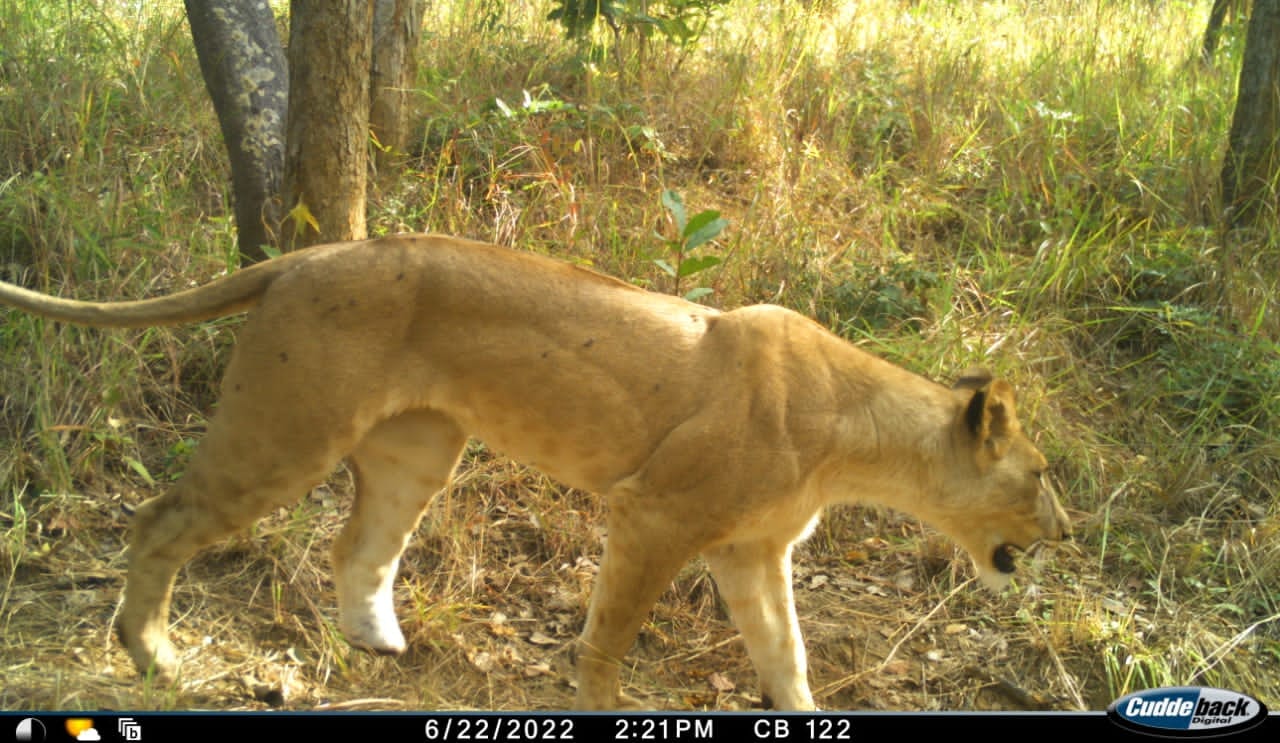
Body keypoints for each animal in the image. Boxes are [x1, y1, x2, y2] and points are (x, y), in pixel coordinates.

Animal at [0, 234, 1070, 710]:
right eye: (1039, 473)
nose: (1064, 532)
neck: (856, 438)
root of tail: (308, 251)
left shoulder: (751, 553)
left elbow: (786, 654)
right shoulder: (655, 514)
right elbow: (611, 636)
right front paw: (596, 701)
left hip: (418, 448)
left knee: (359, 546)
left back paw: (379, 645)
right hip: (285, 430)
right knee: (158, 519)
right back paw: (154, 656)